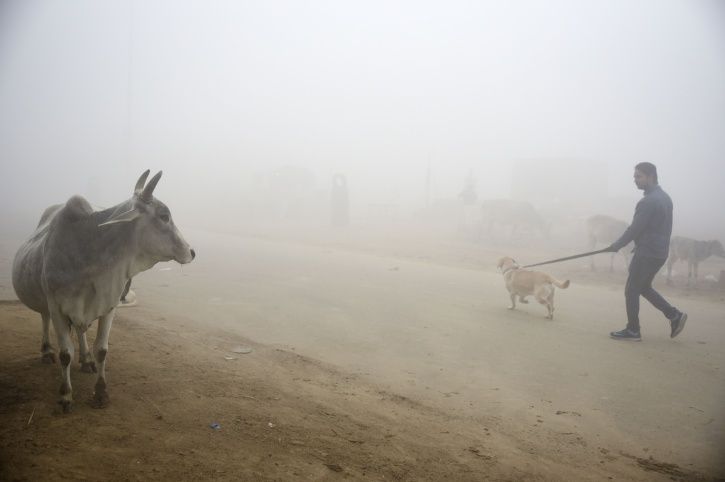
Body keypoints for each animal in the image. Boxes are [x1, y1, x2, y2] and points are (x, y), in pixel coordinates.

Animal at [12, 170, 195, 412]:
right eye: (164, 215)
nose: (191, 252)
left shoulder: (108, 306)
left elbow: (102, 350)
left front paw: (100, 392)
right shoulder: (57, 307)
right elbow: (65, 354)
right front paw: (66, 395)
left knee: (80, 331)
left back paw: (86, 360)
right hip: (44, 302)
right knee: (44, 319)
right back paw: (47, 351)